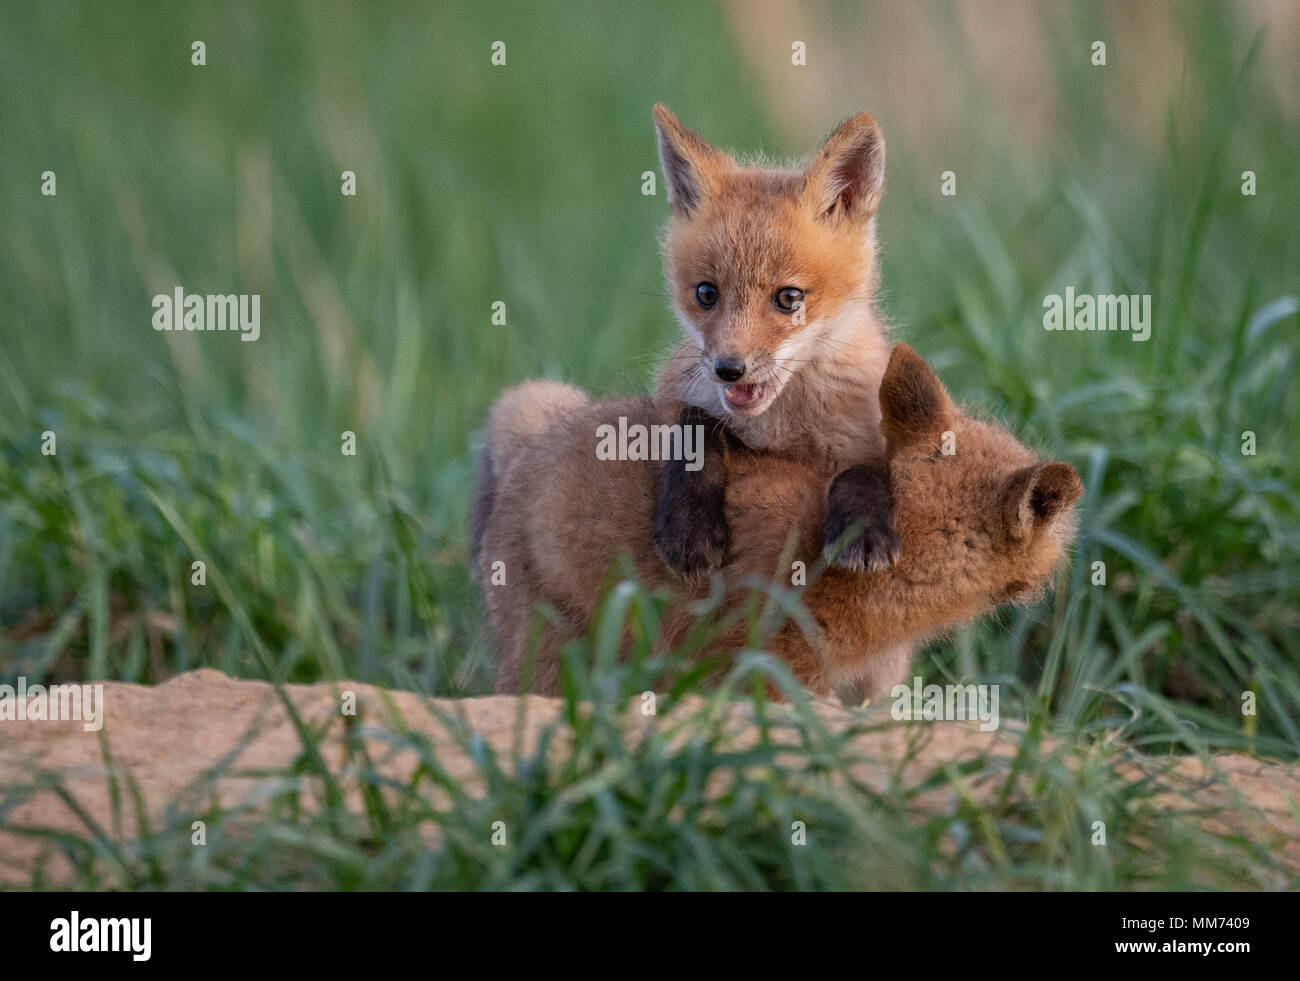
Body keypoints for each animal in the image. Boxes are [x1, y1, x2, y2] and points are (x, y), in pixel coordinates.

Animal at [648, 104, 899, 580]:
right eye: (706, 293)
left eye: (789, 298)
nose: (728, 369)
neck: (783, 428)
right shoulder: (677, 395)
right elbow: (696, 425)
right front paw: (688, 527)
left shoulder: (875, 434)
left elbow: (861, 472)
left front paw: (861, 532)